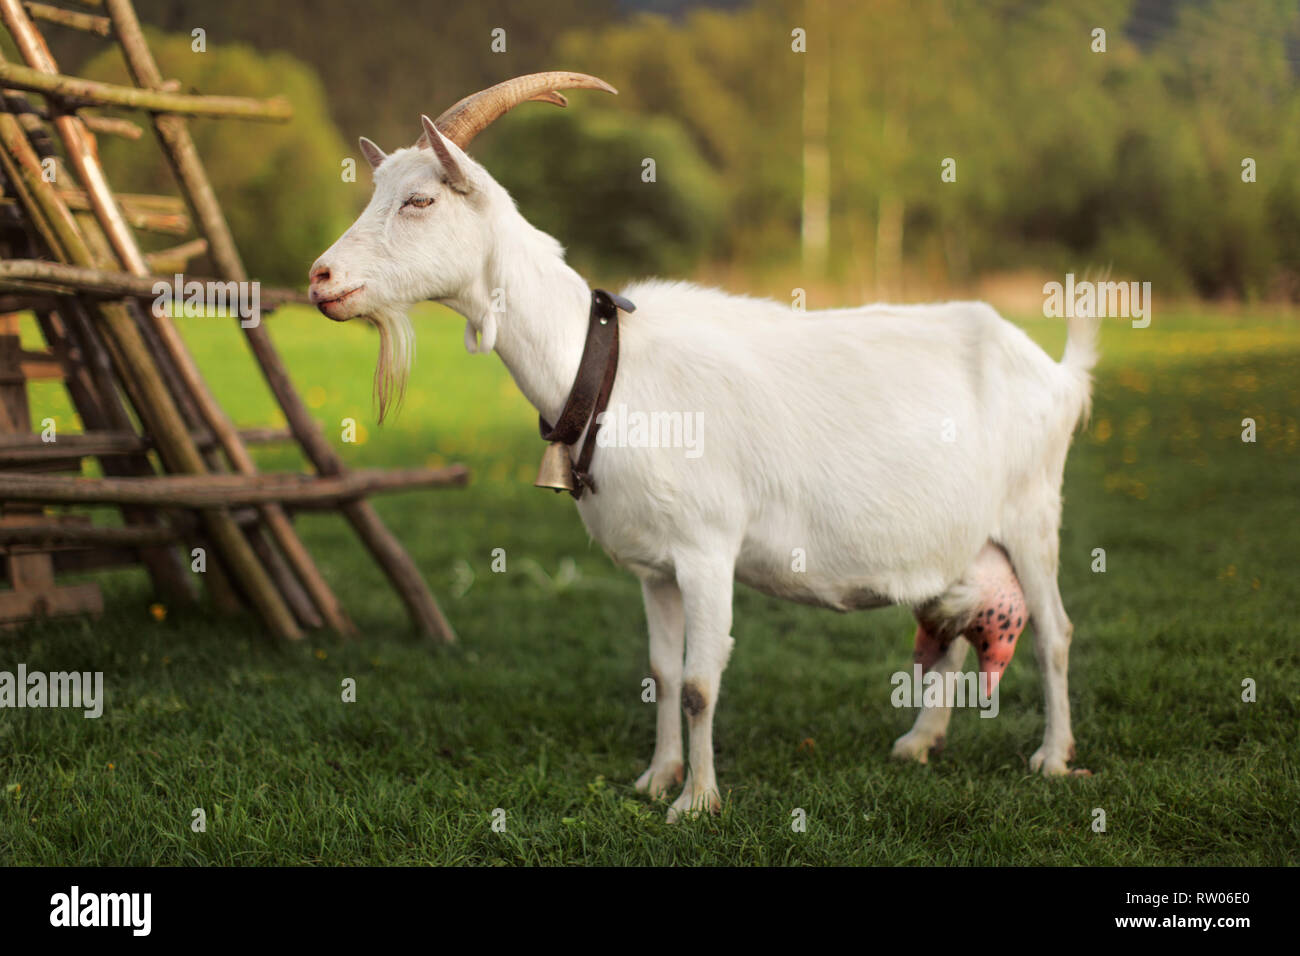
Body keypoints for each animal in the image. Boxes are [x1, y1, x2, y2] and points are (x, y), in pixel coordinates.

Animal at [309, 73, 1100, 820]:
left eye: (419, 201)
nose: (320, 278)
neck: (609, 367)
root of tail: (1057, 373)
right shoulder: (653, 567)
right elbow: (662, 673)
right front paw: (657, 778)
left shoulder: (707, 550)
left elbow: (698, 681)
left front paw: (697, 802)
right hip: (962, 539)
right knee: (957, 631)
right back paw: (919, 742)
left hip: (1033, 514)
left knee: (1055, 631)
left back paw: (1052, 757)